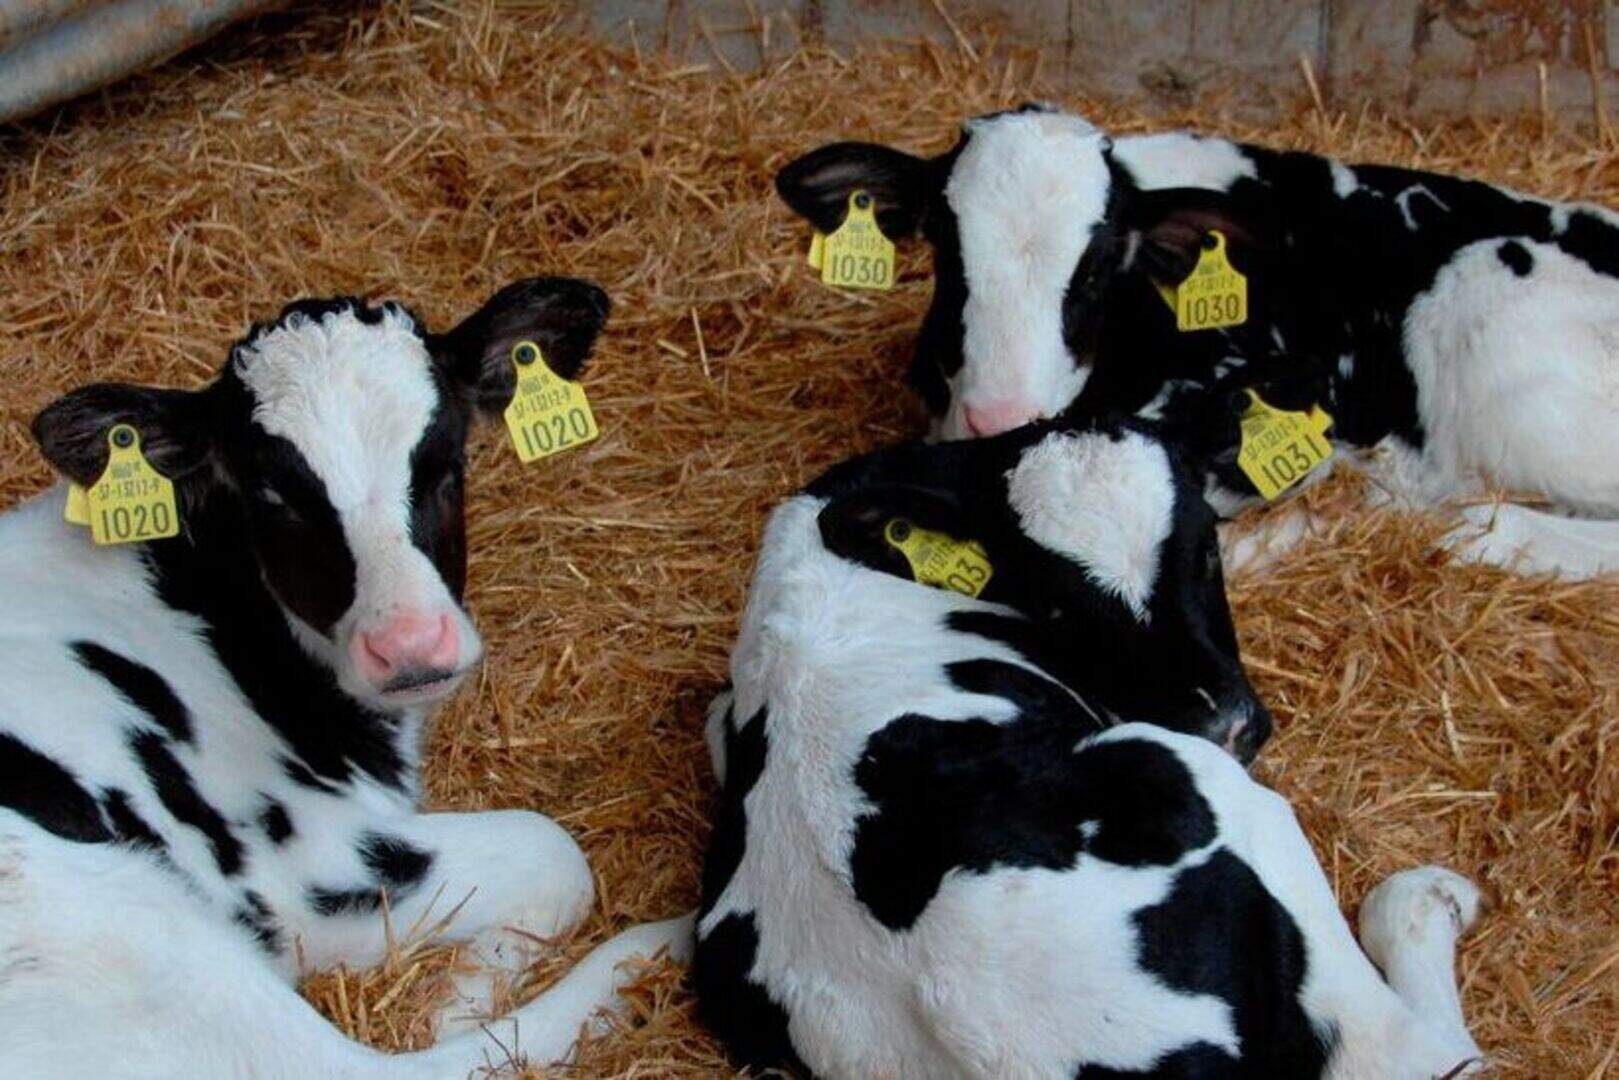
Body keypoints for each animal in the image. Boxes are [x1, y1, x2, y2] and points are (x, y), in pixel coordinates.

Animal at [0, 280, 690, 1079]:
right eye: (272, 494)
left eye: (444, 460)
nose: (411, 645)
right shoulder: (302, 868)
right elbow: (554, 851)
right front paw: (463, 992)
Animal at [692, 419, 1483, 1078]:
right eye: (1059, 604)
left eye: (1201, 551)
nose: (1227, 725)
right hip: (1202, 785)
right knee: (1423, 1050)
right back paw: (1432, 902)